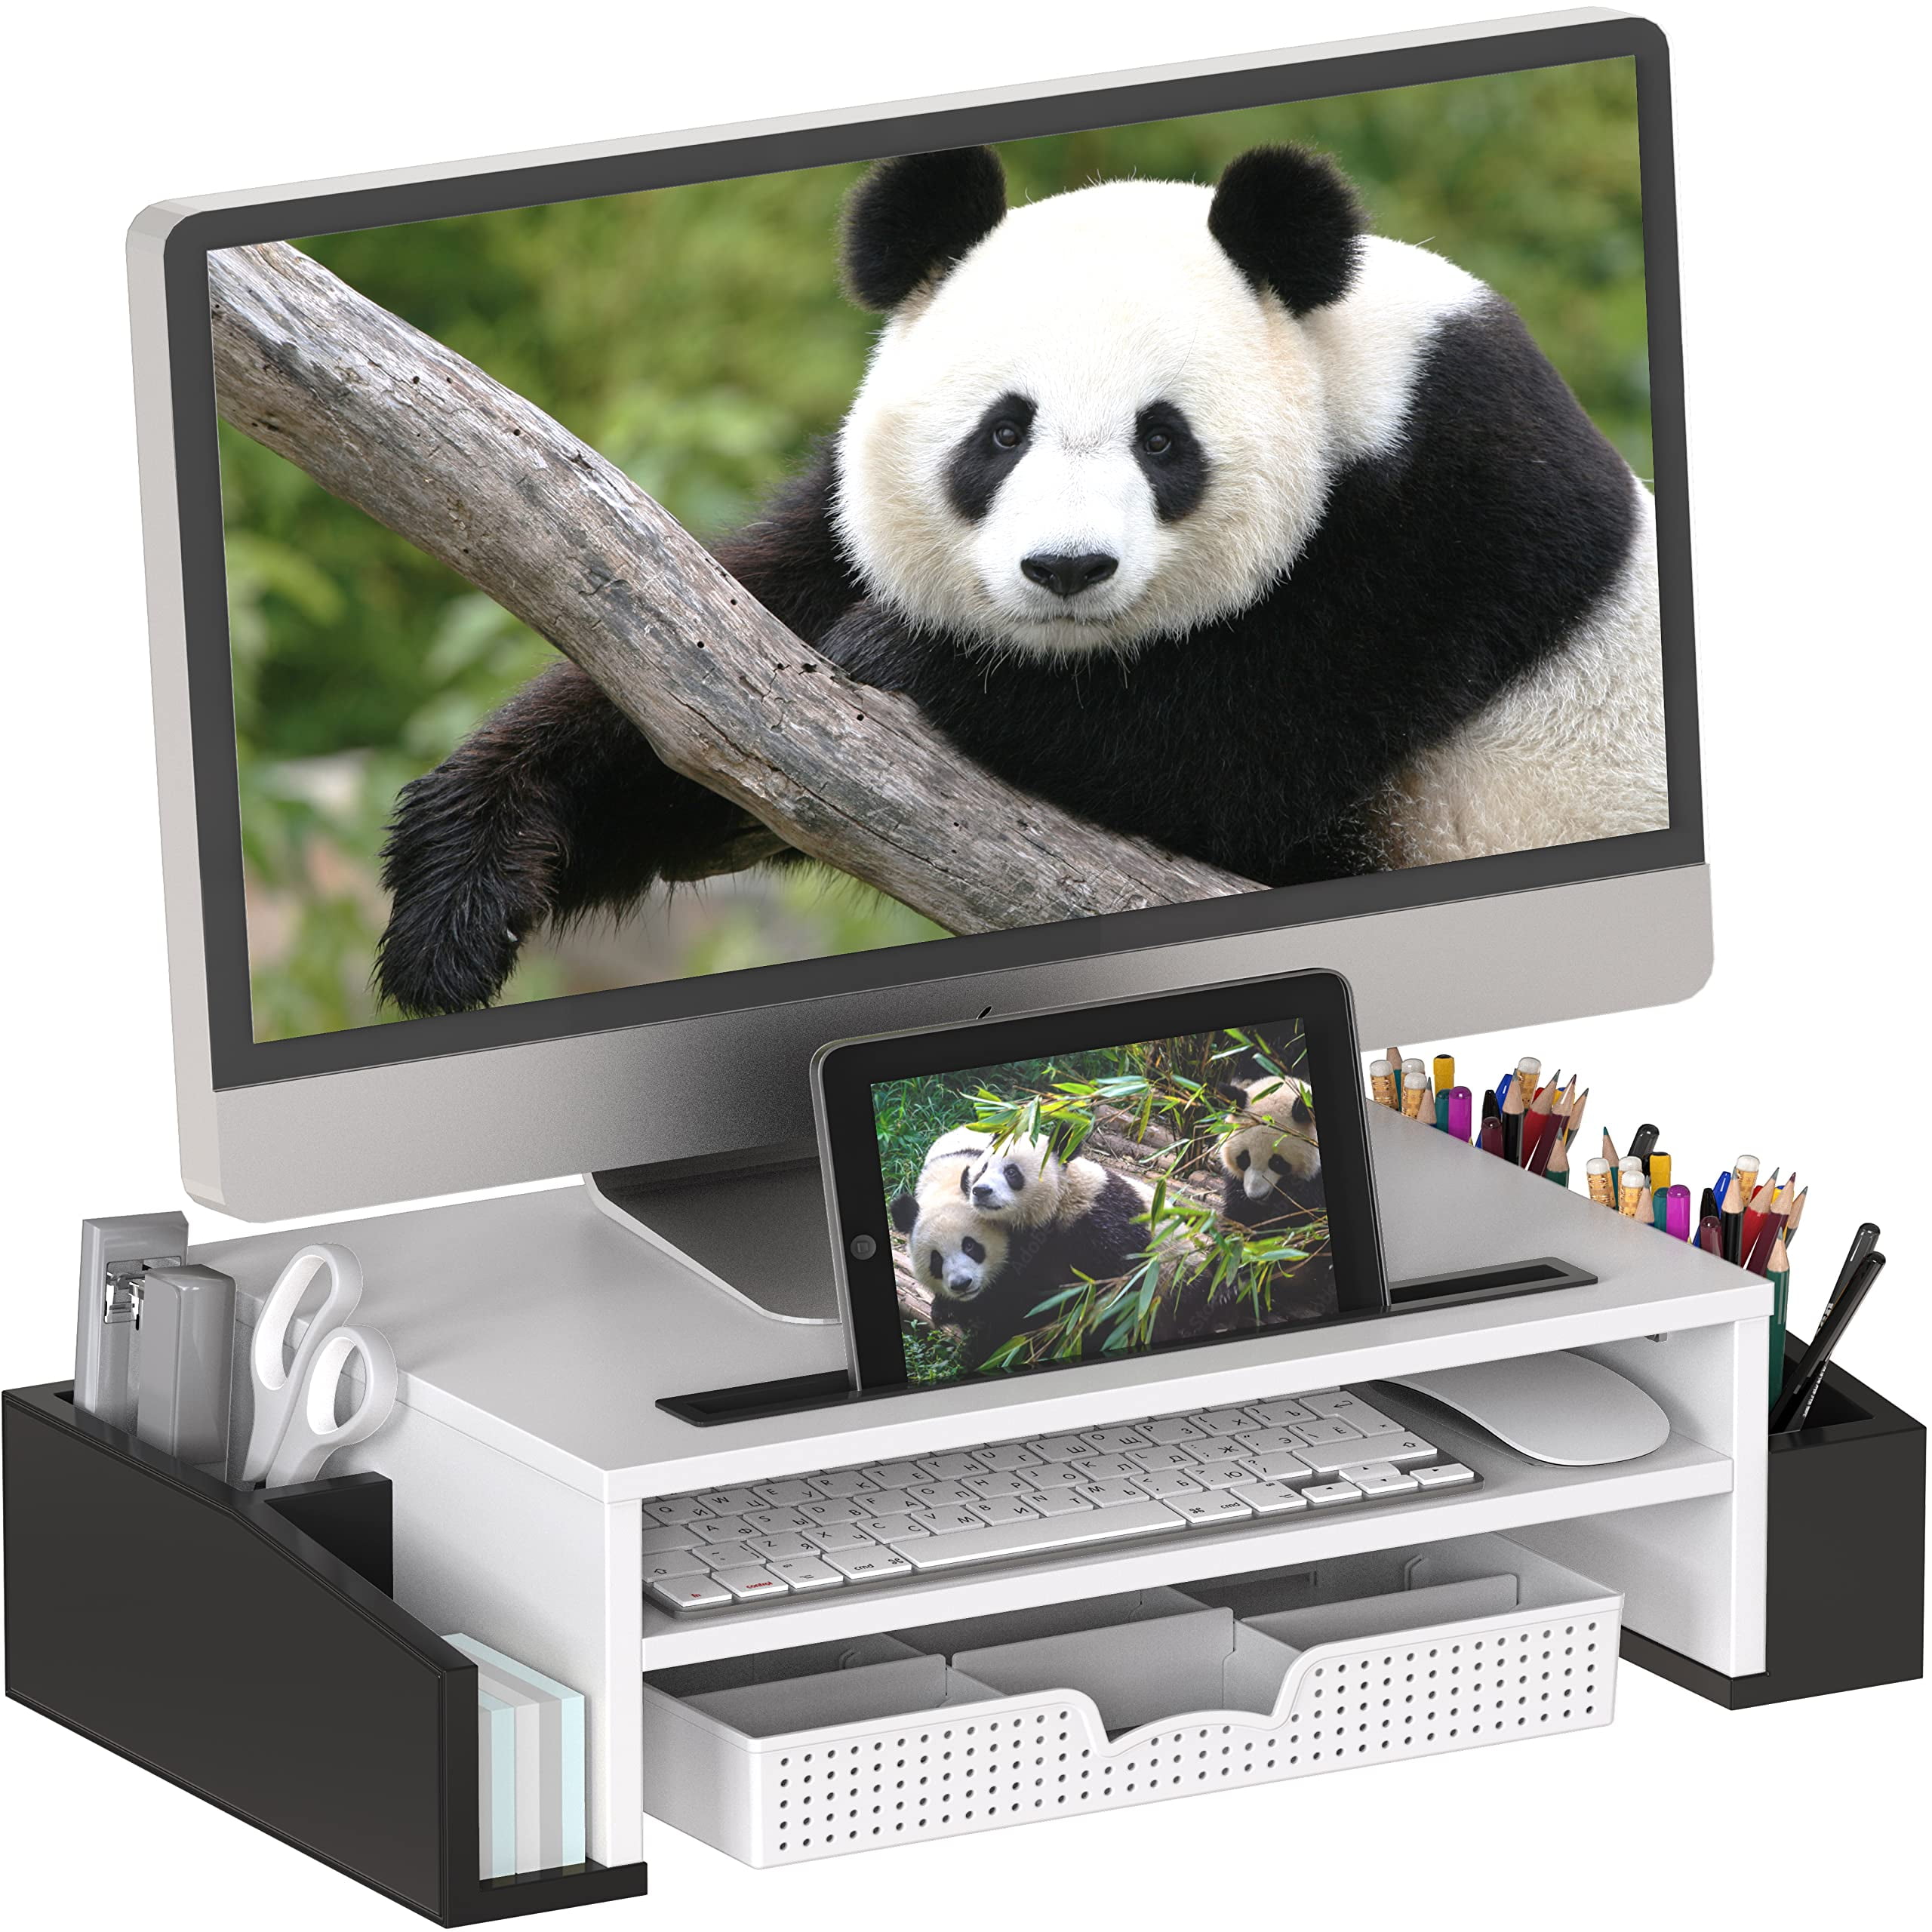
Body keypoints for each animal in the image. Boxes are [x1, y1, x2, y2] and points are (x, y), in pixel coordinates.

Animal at [375, 142, 1664, 1018]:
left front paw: (899, 659)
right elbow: (702, 693)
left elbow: (1248, 732)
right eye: (1001, 434)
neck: (1353, 373)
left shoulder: (1468, 504)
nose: (1067, 569)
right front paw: (457, 897)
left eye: (1163, 440)